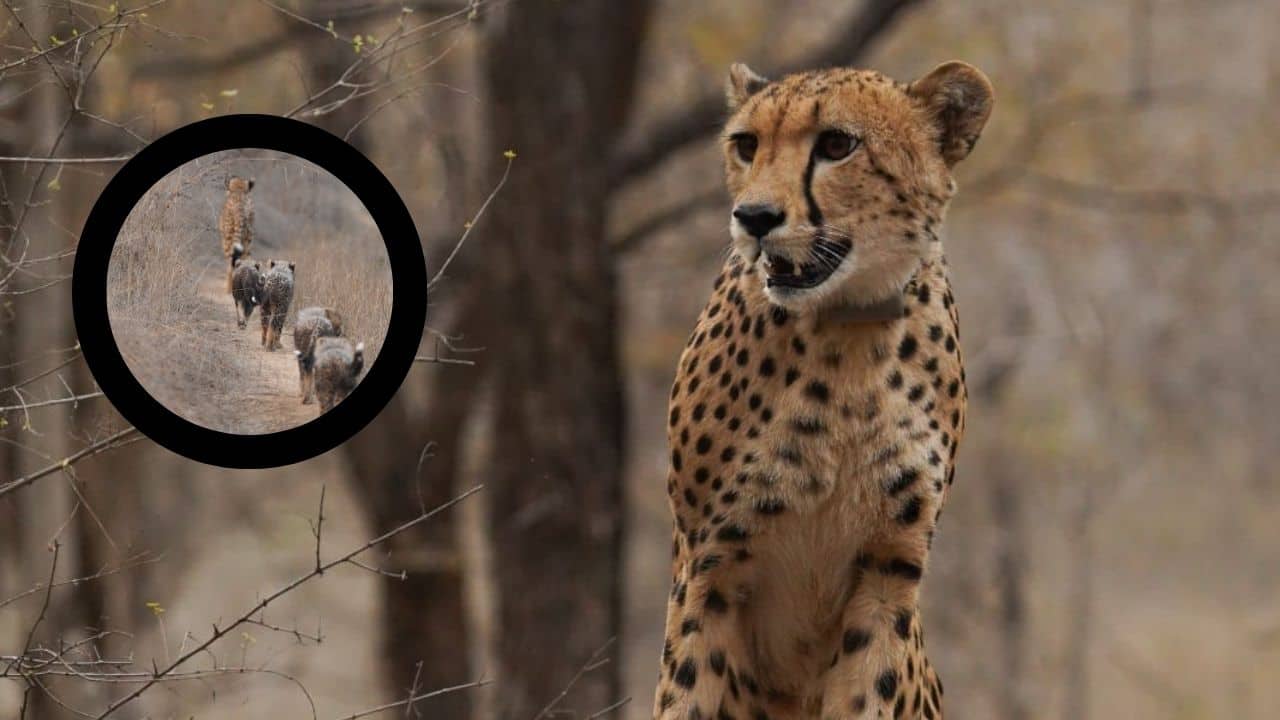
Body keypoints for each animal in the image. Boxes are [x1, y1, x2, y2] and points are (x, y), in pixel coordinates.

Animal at [652, 60, 992, 720]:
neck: (849, 333)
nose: (754, 218)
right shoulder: (707, 569)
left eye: (837, 145)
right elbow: (689, 692)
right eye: (746, 145)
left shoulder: (887, 572)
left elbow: (868, 688)